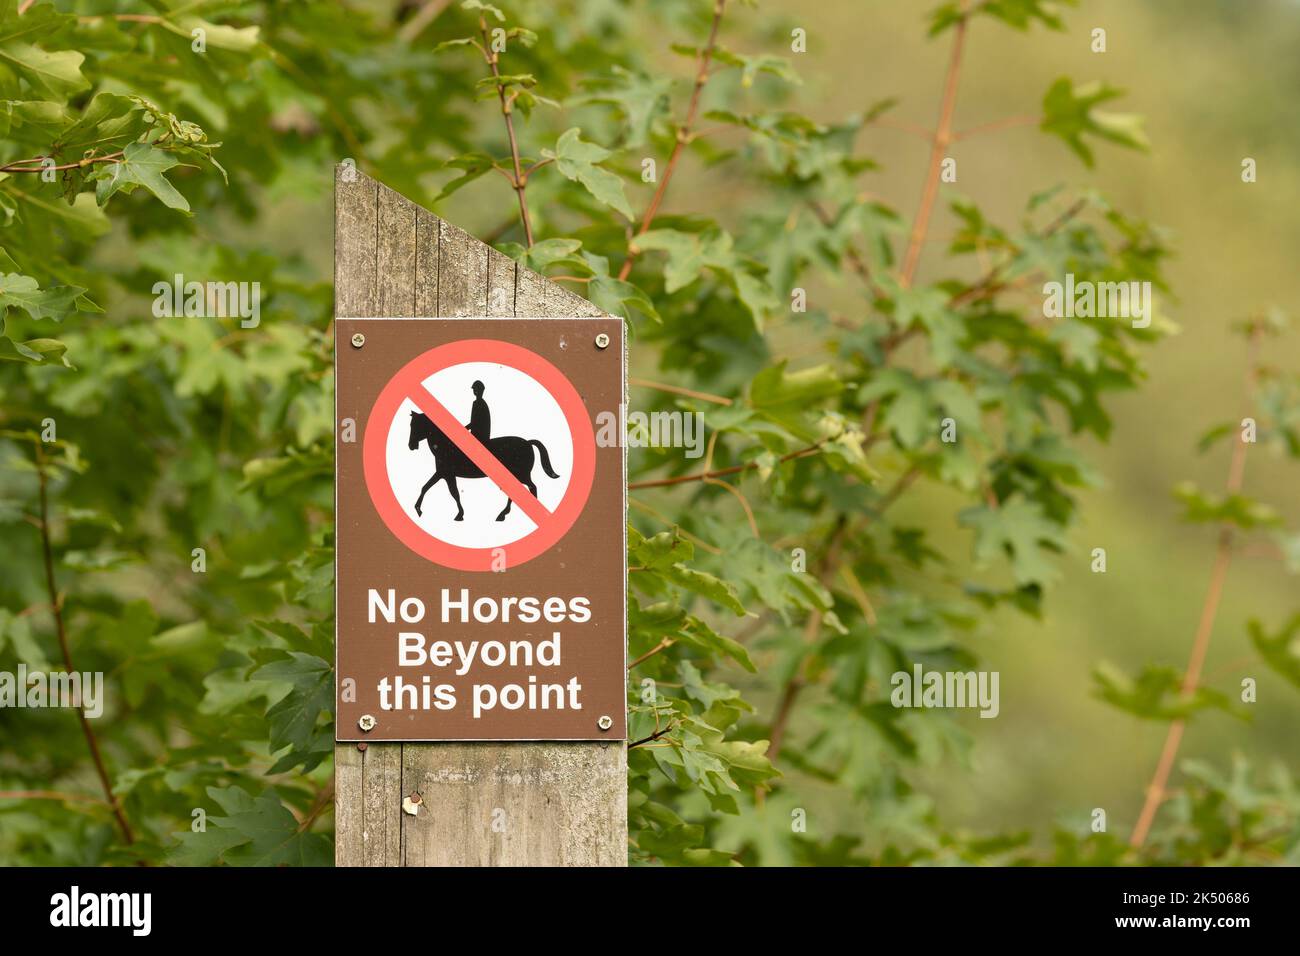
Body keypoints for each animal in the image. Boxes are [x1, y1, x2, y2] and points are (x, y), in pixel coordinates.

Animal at [406, 411, 560, 522]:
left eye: (416, 425)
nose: (411, 446)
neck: (445, 445)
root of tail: (528, 442)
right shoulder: (444, 474)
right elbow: (429, 487)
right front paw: (419, 509)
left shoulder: (446, 474)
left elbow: (451, 493)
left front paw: (458, 515)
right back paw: (503, 514)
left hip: (520, 474)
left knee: (532, 487)